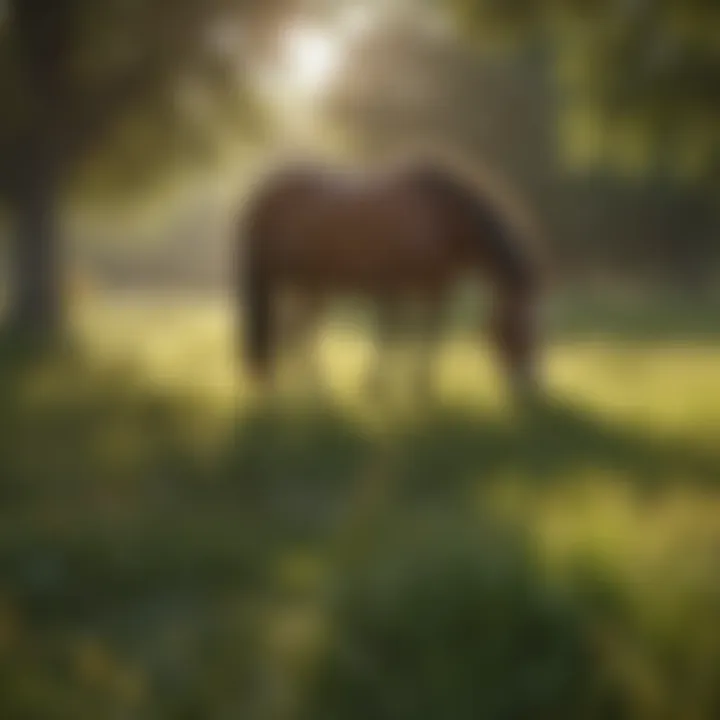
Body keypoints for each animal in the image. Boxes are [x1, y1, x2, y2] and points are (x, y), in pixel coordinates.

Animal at [233, 156, 544, 400]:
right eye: (517, 326)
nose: (528, 383)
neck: (441, 216)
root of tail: (265, 198)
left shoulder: (405, 287)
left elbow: (397, 331)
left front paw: (386, 383)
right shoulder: (424, 289)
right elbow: (423, 333)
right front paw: (416, 383)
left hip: (303, 284)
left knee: (296, 328)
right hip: (291, 280)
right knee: (295, 329)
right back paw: (303, 385)